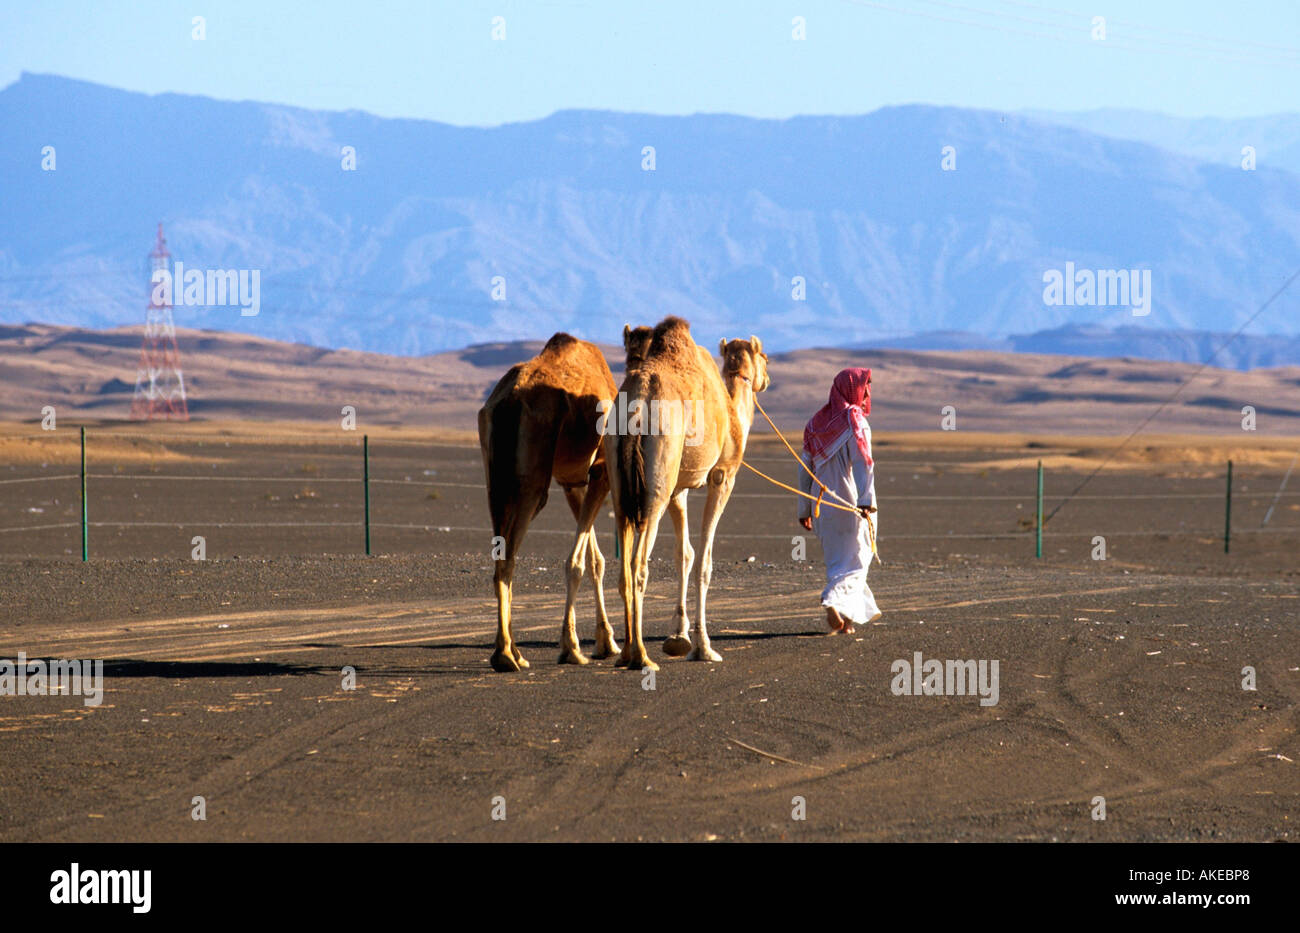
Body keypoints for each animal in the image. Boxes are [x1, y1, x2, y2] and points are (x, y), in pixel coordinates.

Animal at [478, 333, 622, 672]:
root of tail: (508, 401)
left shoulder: (572, 482)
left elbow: (595, 560)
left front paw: (606, 643)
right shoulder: (601, 472)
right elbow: (579, 561)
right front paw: (572, 647)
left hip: (495, 481)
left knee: (500, 554)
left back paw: (511, 652)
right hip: (531, 479)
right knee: (509, 553)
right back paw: (506, 656)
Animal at [605, 316, 770, 670]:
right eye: (765, 357)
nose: (767, 377)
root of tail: (636, 407)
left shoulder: (678, 487)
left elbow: (685, 553)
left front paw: (678, 638)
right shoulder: (723, 475)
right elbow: (704, 561)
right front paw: (704, 648)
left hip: (620, 481)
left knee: (624, 566)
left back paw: (624, 653)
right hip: (656, 481)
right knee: (639, 564)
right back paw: (640, 656)